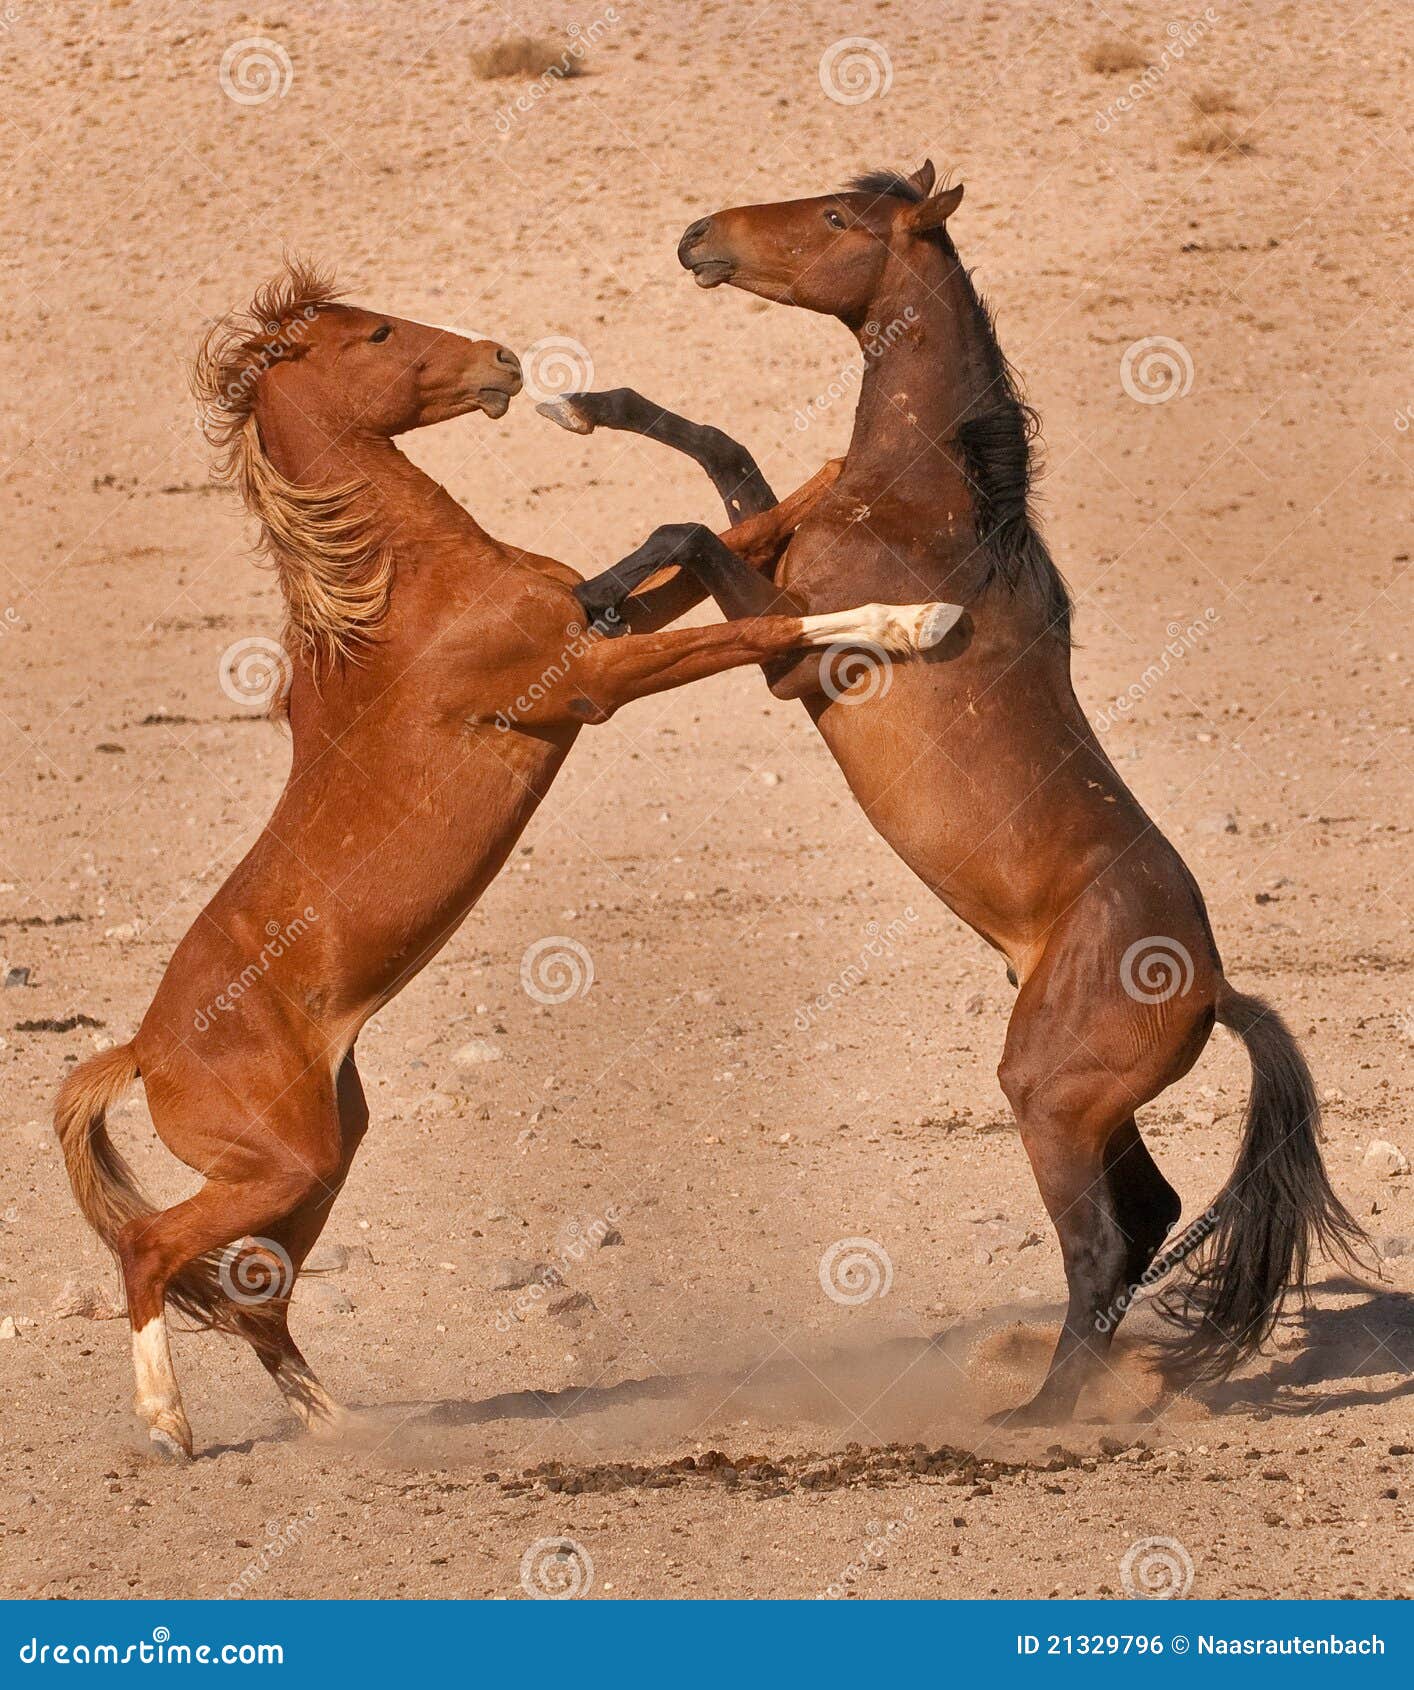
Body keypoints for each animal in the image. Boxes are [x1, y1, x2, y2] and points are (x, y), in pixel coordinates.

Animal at [54, 260, 959, 1458]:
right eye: (375, 334)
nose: (503, 360)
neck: (406, 597)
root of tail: (145, 1053)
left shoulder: (607, 624)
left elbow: (740, 530)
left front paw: (826, 481)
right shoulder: (597, 680)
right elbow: (761, 630)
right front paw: (918, 615)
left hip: (316, 1161)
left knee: (254, 1293)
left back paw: (341, 1425)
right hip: (280, 1167)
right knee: (152, 1246)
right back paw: (168, 1424)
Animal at [562, 163, 1366, 1425]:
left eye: (839, 218)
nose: (700, 236)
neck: (923, 500)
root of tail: (1216, 987)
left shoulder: (792, 658)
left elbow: (692, 528)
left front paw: (597, 596)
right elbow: (721, 458)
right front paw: (591, 407)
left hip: (1043, 1096)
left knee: (1100, 1241)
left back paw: (1037, 1415)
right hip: (1088, 1108)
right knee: (1147, 1216)